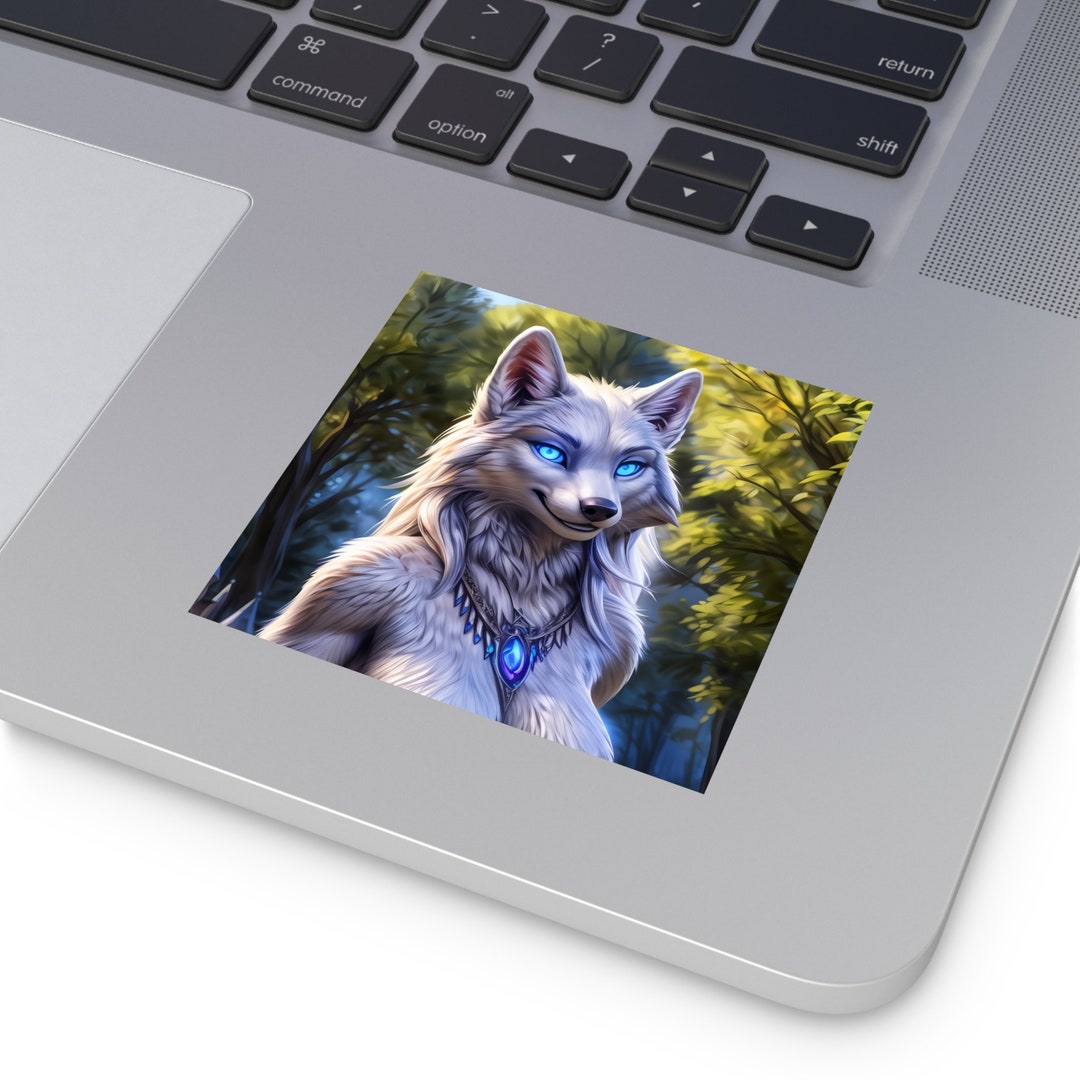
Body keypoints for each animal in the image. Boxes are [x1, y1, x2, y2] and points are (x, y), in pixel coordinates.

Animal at [259, 327, 702, 761]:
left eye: (628, 468)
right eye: (550, 452)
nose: (601, 509)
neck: (521, 586)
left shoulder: (617, 632)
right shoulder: (362, 578)